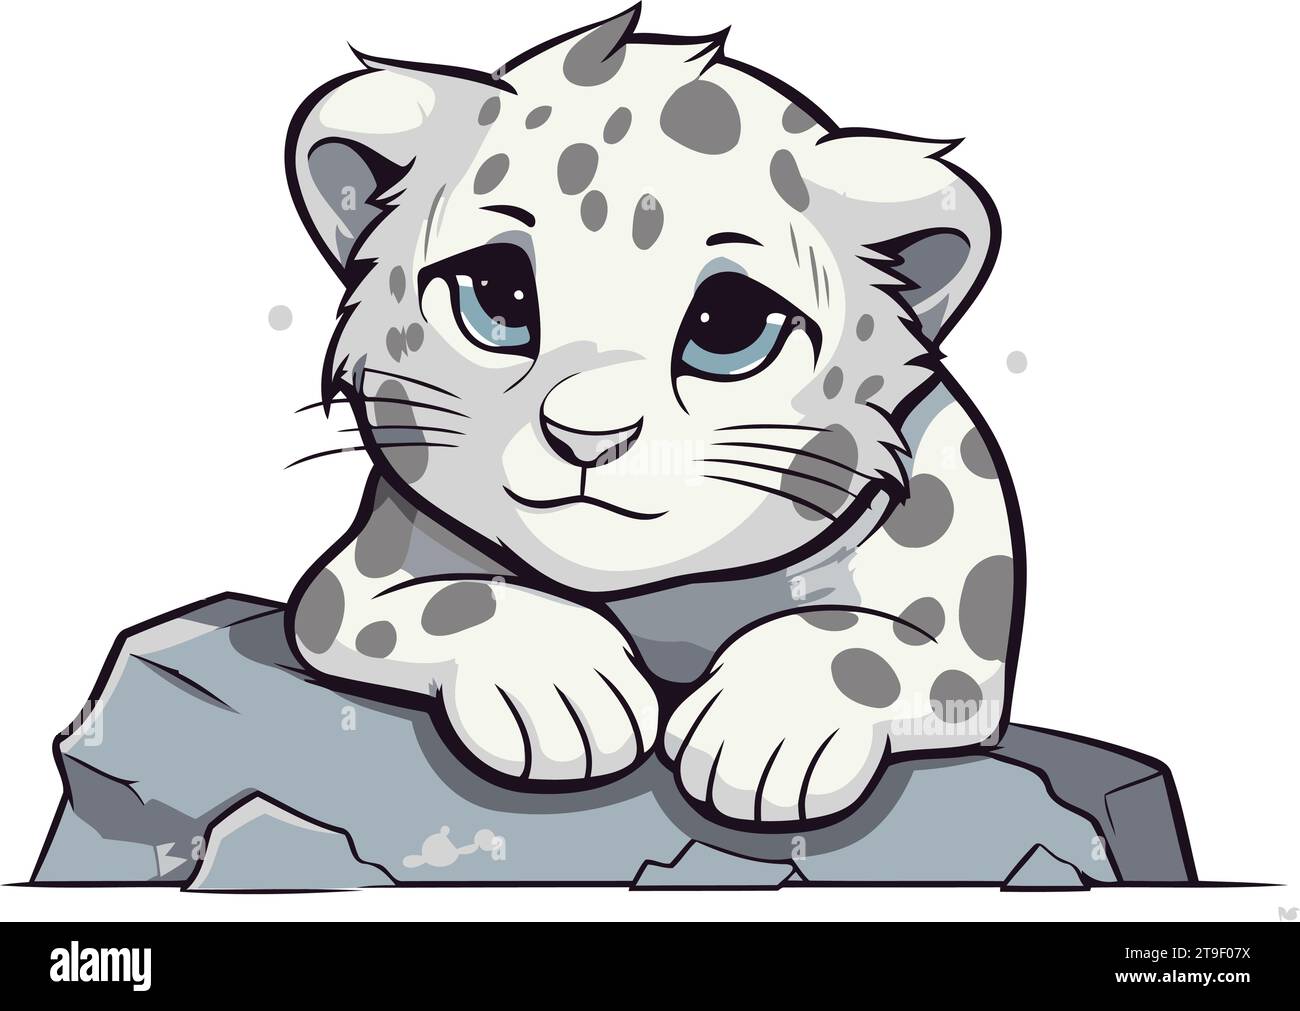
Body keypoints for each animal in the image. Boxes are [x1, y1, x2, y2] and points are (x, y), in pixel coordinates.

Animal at [285, 4, 1022, 827]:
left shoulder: (962, 639)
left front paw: (763, 731)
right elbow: (459, 597)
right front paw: (567, 692)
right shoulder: (357, 578)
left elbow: (854, 645)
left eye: (730, 323)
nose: (588, 438)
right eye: (497, 293)